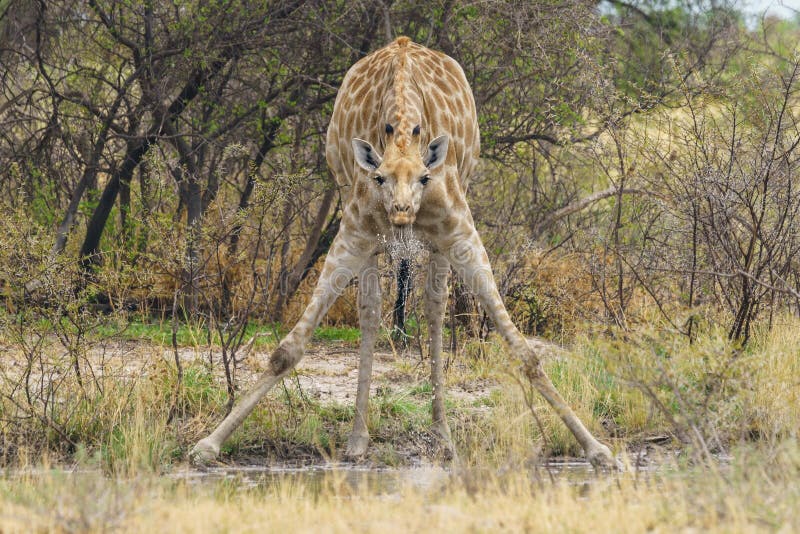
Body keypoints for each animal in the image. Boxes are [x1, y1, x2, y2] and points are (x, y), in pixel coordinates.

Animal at [191, 37, 616, 469]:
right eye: (379, 178)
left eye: (425, 177)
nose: (401, 212)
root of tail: (402, 42)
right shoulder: (353, 231)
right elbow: (286, 349)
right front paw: (209, 443)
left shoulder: (460, 229)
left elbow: (524, 351)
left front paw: (596, 448)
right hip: (356, 215)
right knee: (370, 310)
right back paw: (358, 439)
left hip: (446, 225)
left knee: (434, 306)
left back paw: (443, 436)